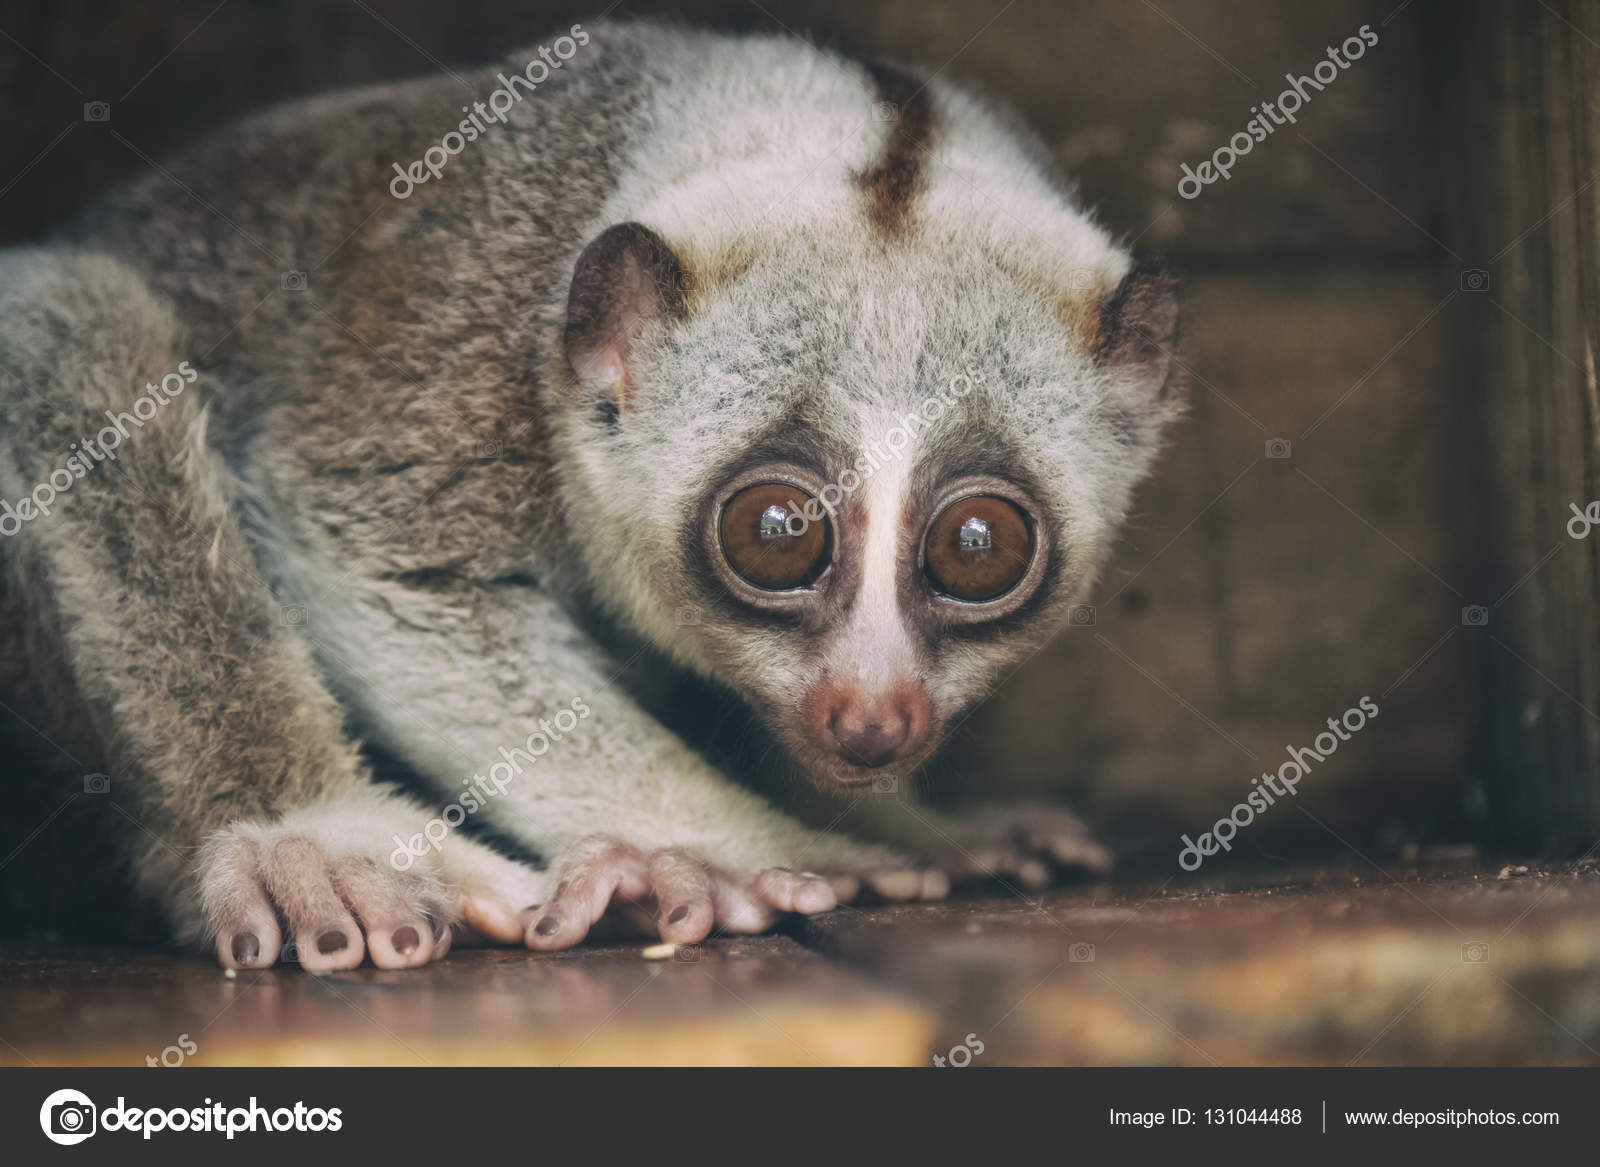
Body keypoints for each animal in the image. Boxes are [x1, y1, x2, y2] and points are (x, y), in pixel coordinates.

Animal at [0, 19, 1181, 971]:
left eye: (979, 547)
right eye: (777, 533)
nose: (872, 716)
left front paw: (920, 830)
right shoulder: (460, 336)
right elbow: (381, 576)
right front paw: (743, 847)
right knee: (64, 314)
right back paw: (314, 845)